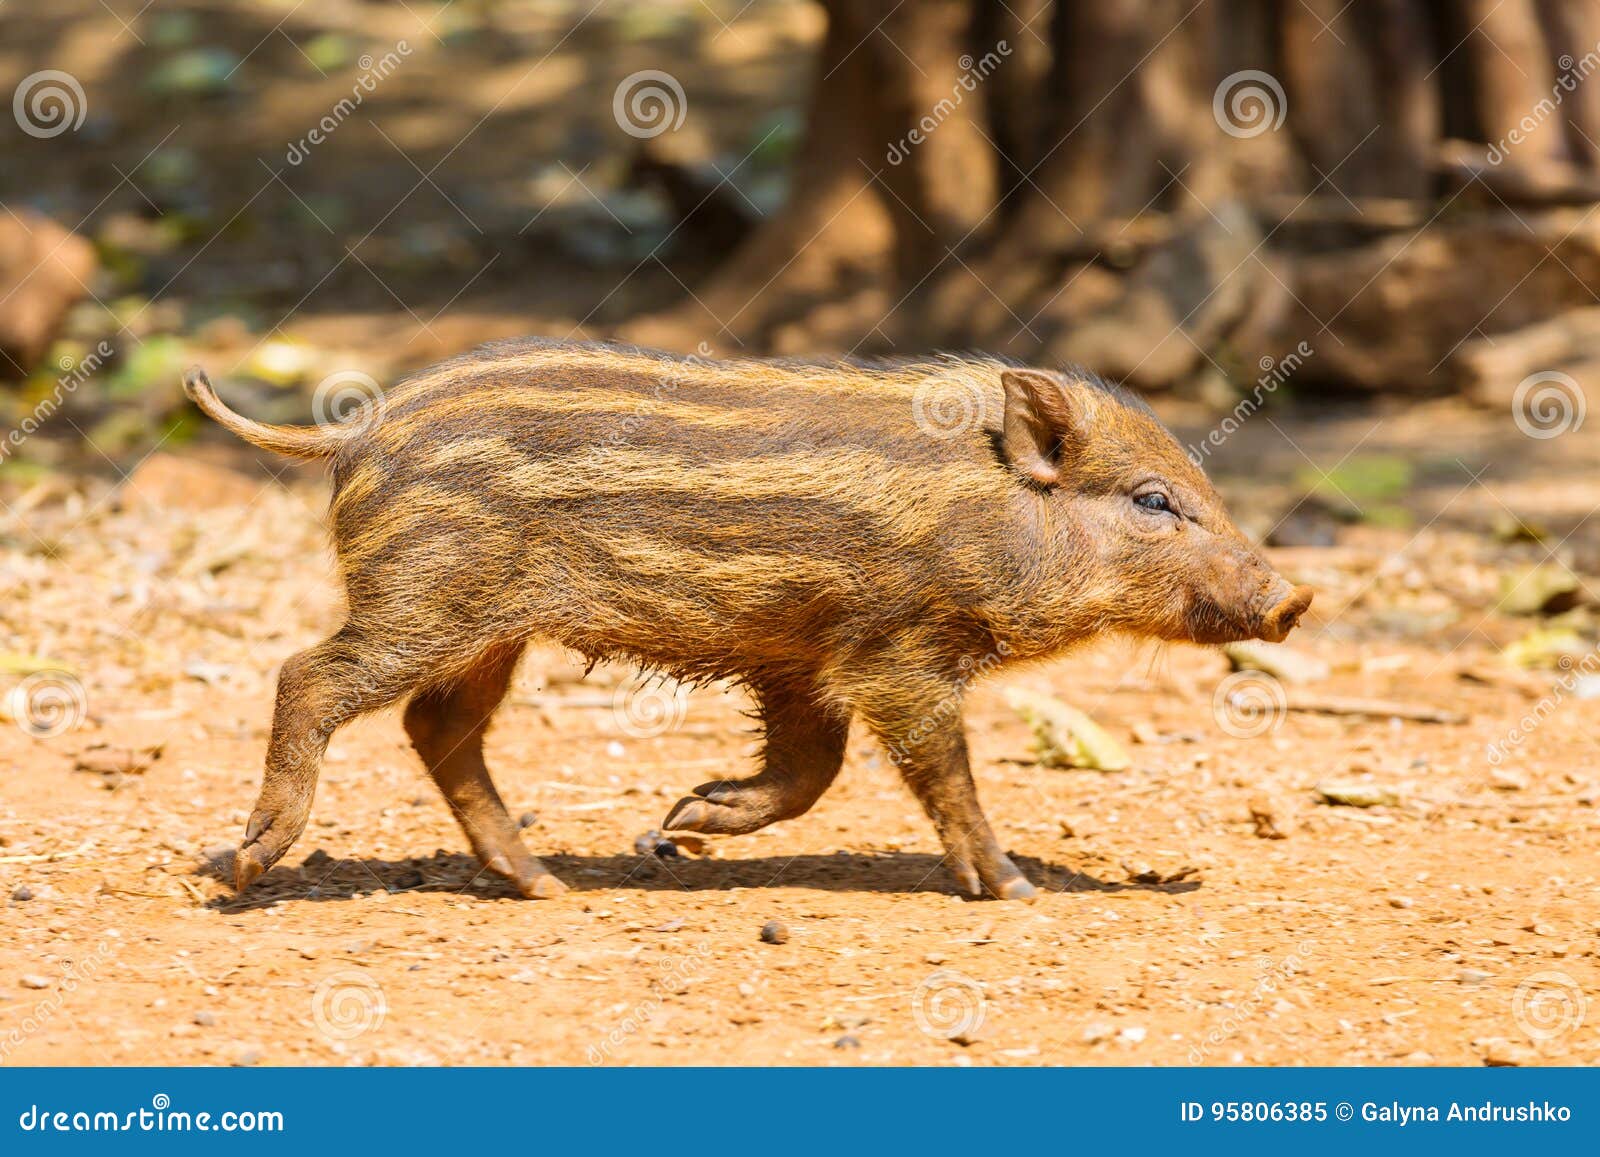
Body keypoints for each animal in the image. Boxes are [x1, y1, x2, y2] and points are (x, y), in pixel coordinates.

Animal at [183, 340, 1312, 901]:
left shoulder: (802, 659)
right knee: (310, 677)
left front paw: (680, 824)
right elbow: (939, 769)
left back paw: (549, 886)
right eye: (1154, 500)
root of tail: (351, 436)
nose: (1295, 598)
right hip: (423, 598)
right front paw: (1013, 886)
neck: (992, 514)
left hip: (489, 629)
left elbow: (809, 771)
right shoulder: (898, 650)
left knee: (439, 727)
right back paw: (239, 864)